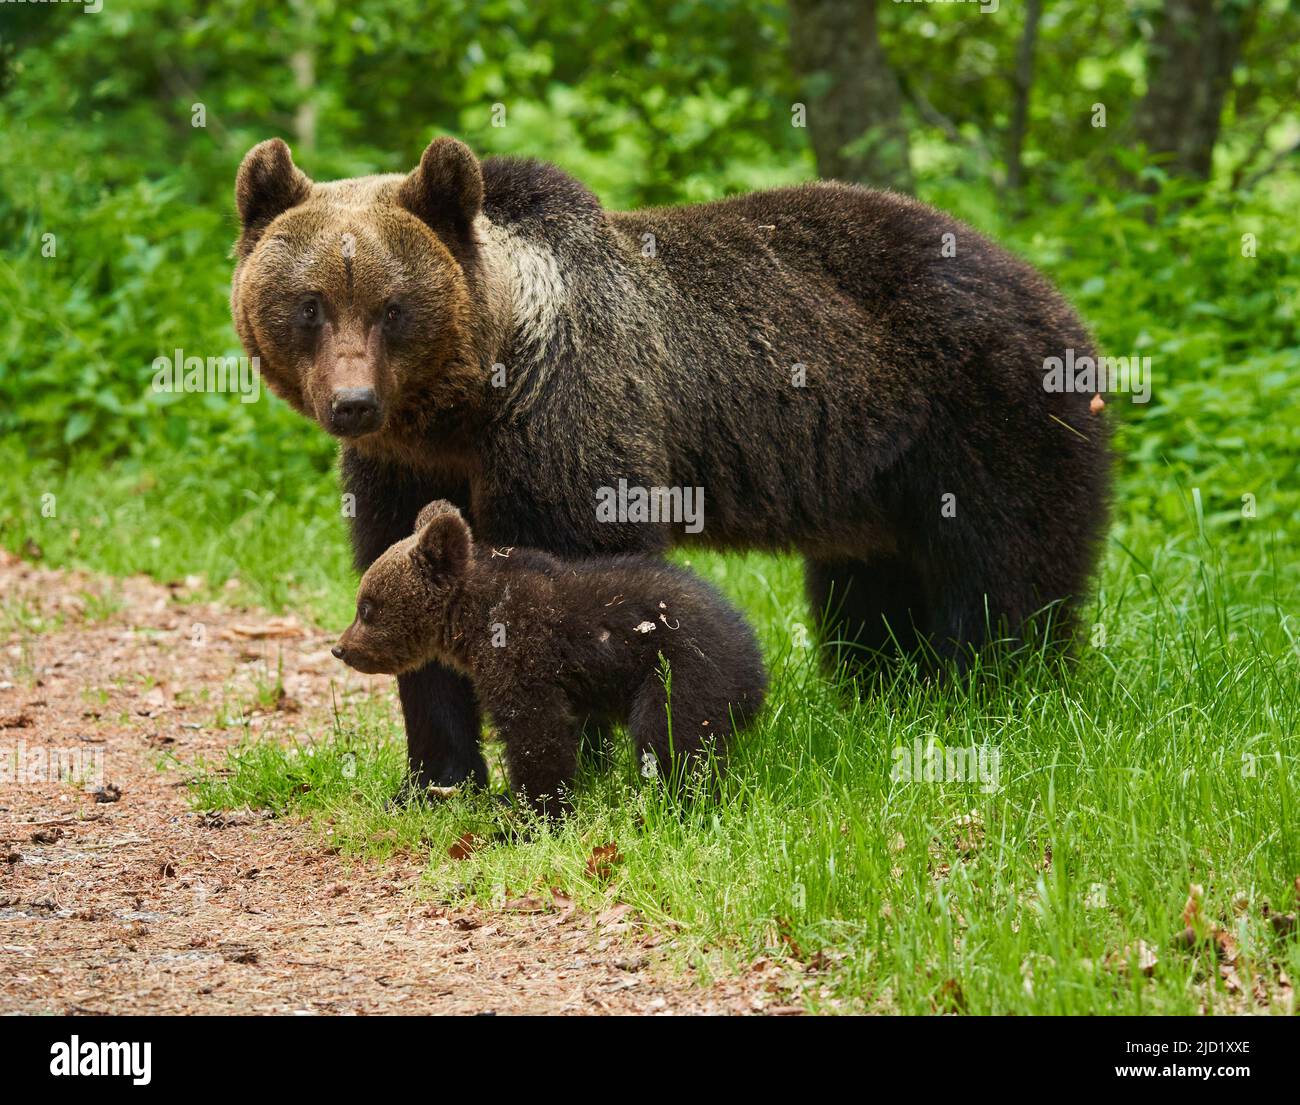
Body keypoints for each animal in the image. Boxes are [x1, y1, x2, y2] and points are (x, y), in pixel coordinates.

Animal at [331, 500, 768, 813]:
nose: (341, 648)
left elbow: (537, 733)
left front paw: (534, 815)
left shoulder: (521, 656)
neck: (473, 619)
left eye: (366, 607)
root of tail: (755, 665)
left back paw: (673, 806)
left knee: (669, 741)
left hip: (681, 674)